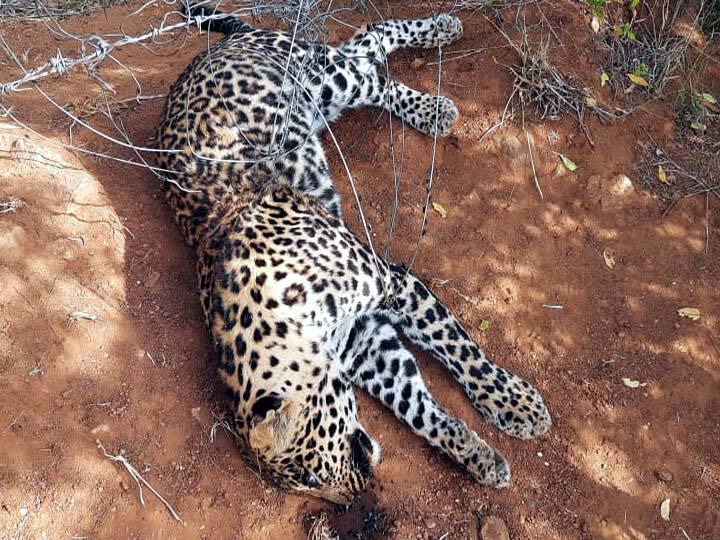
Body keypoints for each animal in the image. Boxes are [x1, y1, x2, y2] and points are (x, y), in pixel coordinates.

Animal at [156, 3, 551, 505]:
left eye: (307, 475)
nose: (352, 498)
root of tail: (222, 45)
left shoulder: (392, 283)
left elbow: (458, 348)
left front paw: (512, 402)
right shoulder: (363, 342)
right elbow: (417, 406)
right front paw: (477, 456)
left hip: (324, 77)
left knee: (373, 51)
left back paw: (440, 58)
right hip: (321, 98)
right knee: (368, 58)